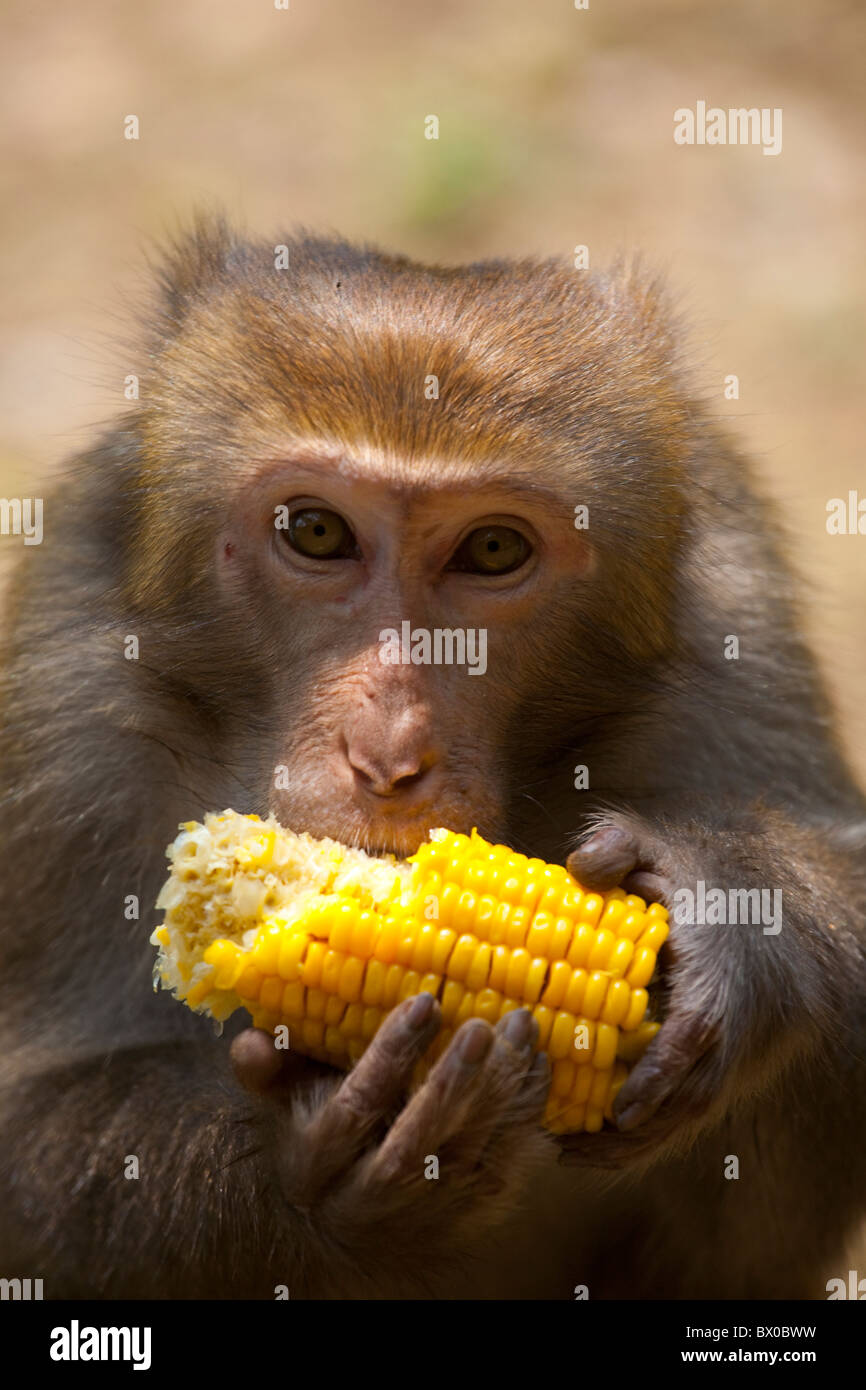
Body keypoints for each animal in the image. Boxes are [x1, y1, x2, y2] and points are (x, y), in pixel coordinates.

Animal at [1, 215, 865, 1300]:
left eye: (492, 550)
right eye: (315, 530)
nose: (387, 753)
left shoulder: (737, 618)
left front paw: (736, 905)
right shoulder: (68, 708)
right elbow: (25, 1123)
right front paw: (314, 1159)